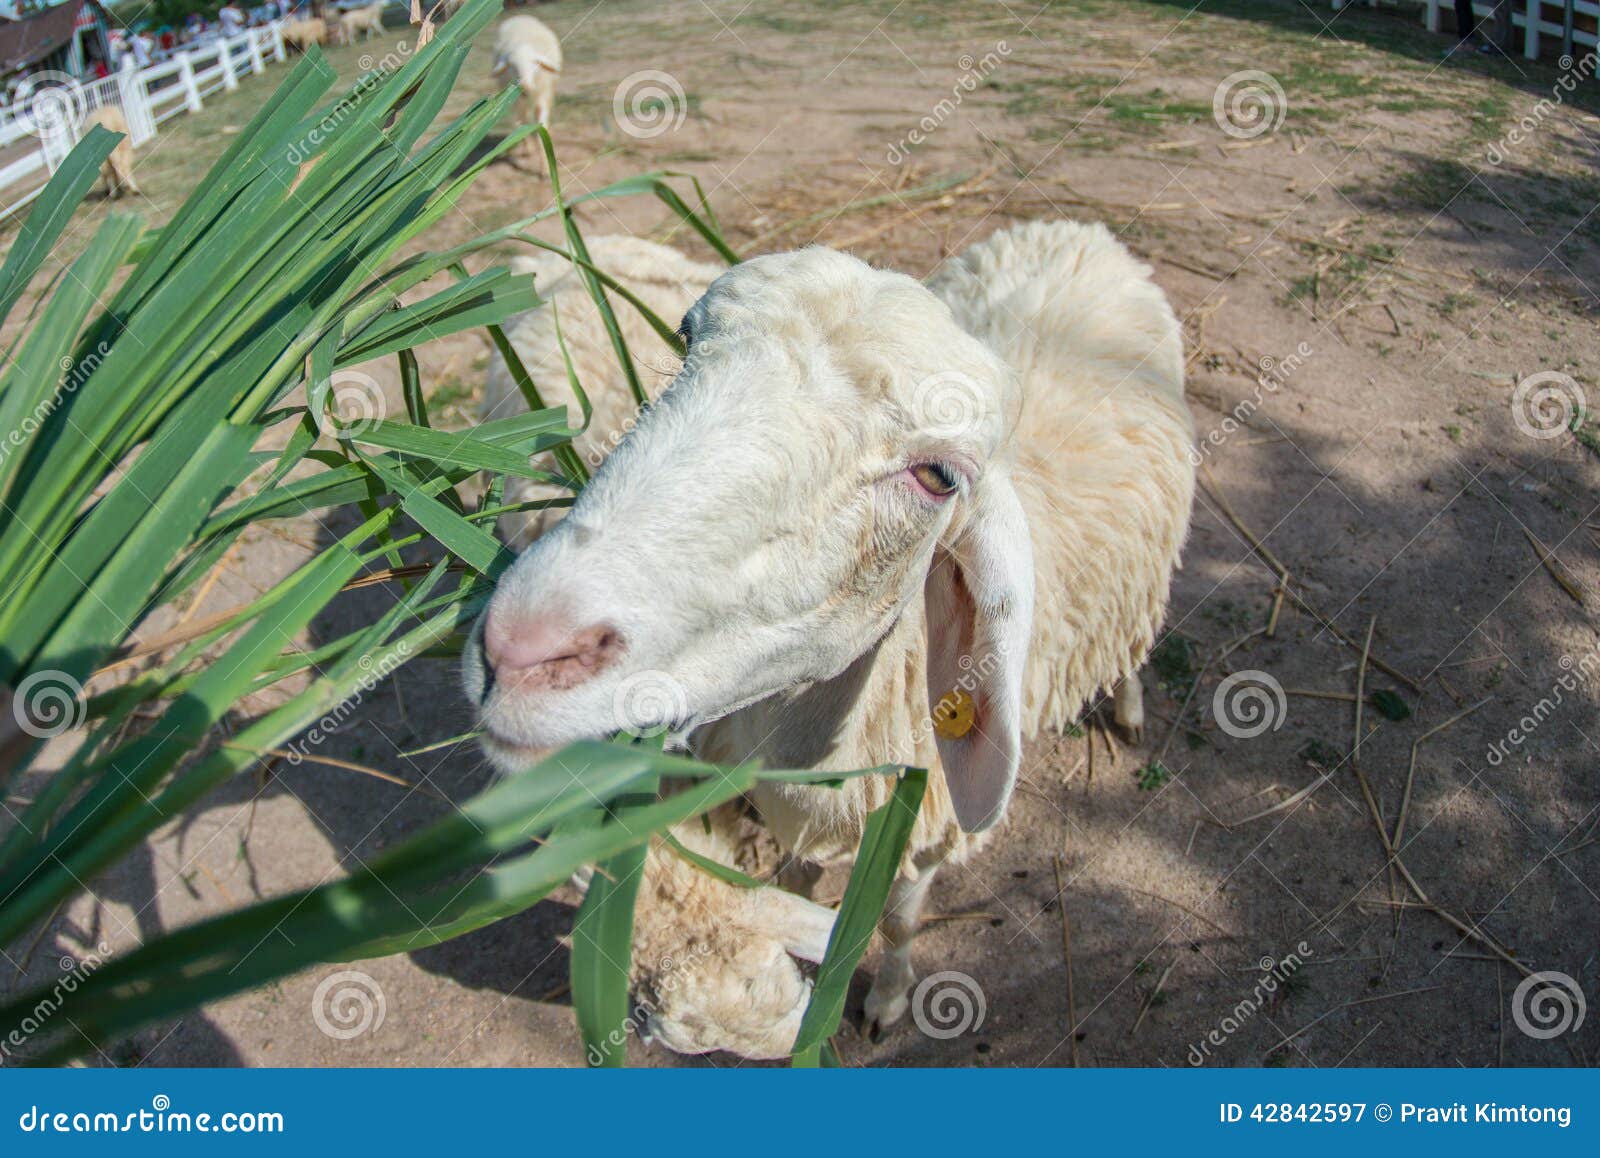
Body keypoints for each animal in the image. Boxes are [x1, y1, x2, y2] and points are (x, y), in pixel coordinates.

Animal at [466, 219, 1195, 1048]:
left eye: (939, 477)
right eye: (685, 338)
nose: (520, 649)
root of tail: (1078, 229)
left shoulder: (926, 824)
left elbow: (900, 921)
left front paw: (888, 999)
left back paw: (1129, 706)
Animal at [491, 15, 562, 172]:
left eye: (534, 63)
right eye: (511, 65)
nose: (525, 86)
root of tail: (519, 17)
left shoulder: (542, 98)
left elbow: (542, 128)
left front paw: (545, 169)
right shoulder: (516, 101)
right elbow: (520, 122)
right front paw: (528, 149)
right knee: (521, 119)